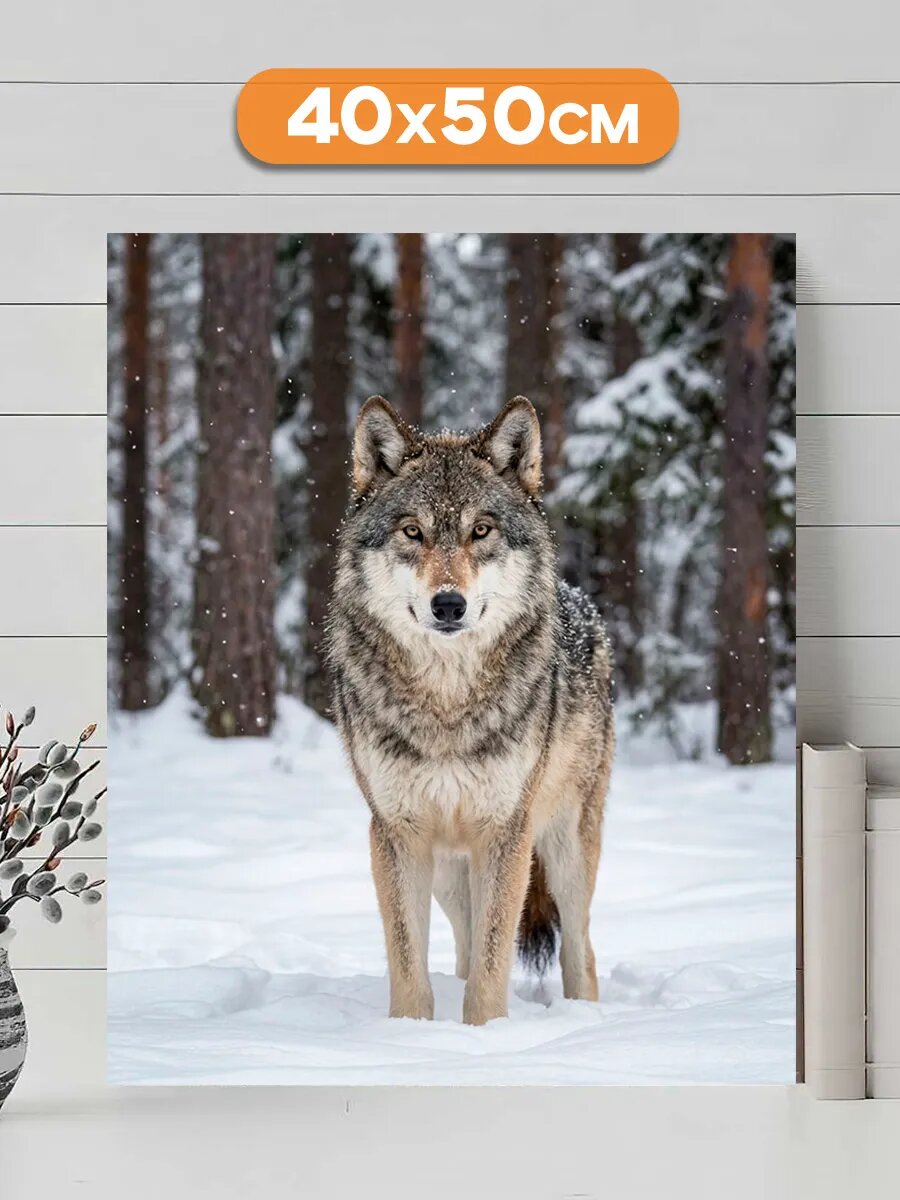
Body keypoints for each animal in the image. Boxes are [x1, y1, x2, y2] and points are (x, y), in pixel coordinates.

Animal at [327, 396, 614, 1025]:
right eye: (413, 531)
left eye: (480, 530)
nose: (449, 605)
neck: (446, 705)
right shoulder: (396, 833)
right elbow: (410, 965)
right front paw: (412, 1035)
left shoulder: (506, 832)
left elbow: (492, 965)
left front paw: (486, 1035)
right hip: (449, 870)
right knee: (461, 947)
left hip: (564, 848)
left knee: (581, 950)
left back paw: (586, 1020)